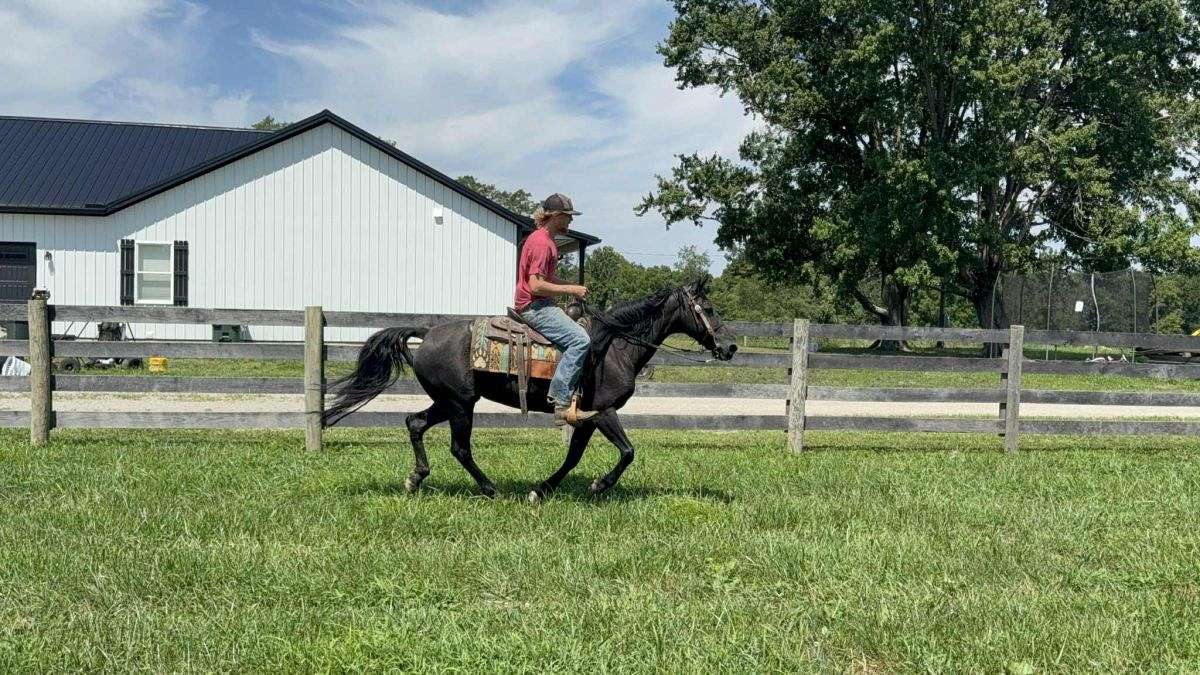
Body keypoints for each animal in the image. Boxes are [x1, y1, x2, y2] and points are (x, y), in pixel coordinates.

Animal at [323, 276, 738, 503]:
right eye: (708, 308)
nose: (731, 347)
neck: (614, 346)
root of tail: (426, 333)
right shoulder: (604, 411)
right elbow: (627, 452)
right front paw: (599, 485)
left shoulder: (585, 418)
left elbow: (573, 458)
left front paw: (542, 490)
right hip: (460, 404)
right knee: (459, 447)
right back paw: (490, 490)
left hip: (448, 400)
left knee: (414, 423)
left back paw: (415, 478)